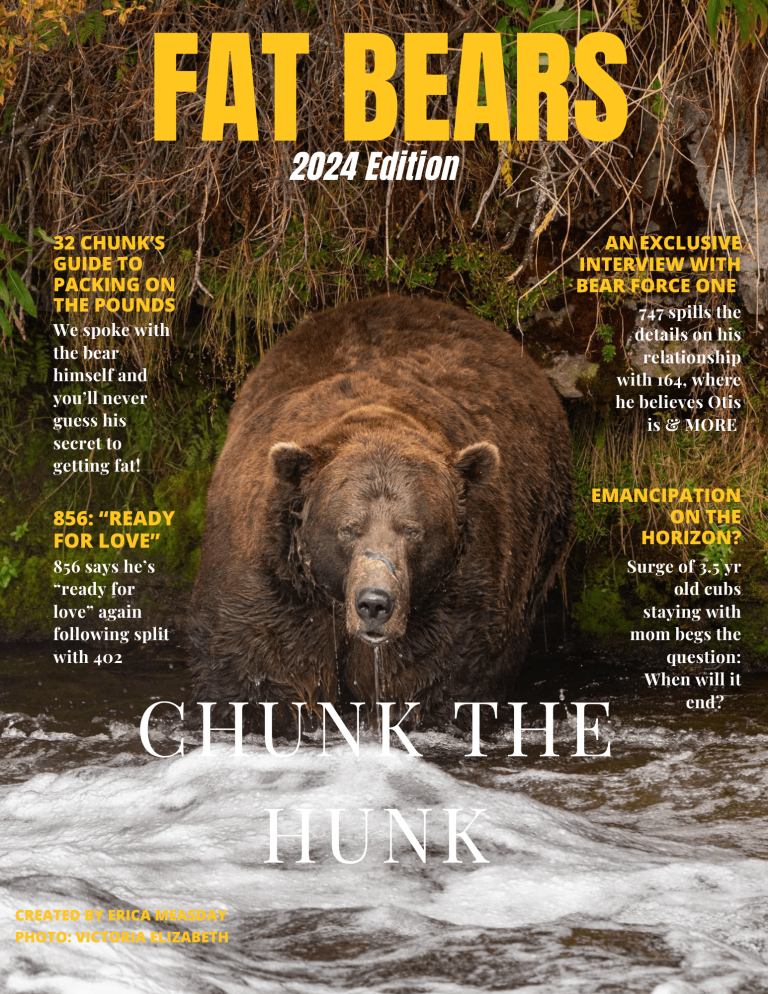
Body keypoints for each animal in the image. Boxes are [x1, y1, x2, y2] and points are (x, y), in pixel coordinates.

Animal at [187, 295, 572, 728]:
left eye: (414, 530)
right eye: (347, 528)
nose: (374, 602)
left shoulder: (456, 593)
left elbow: (433, 679)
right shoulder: (272, 583)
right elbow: (259, 671)